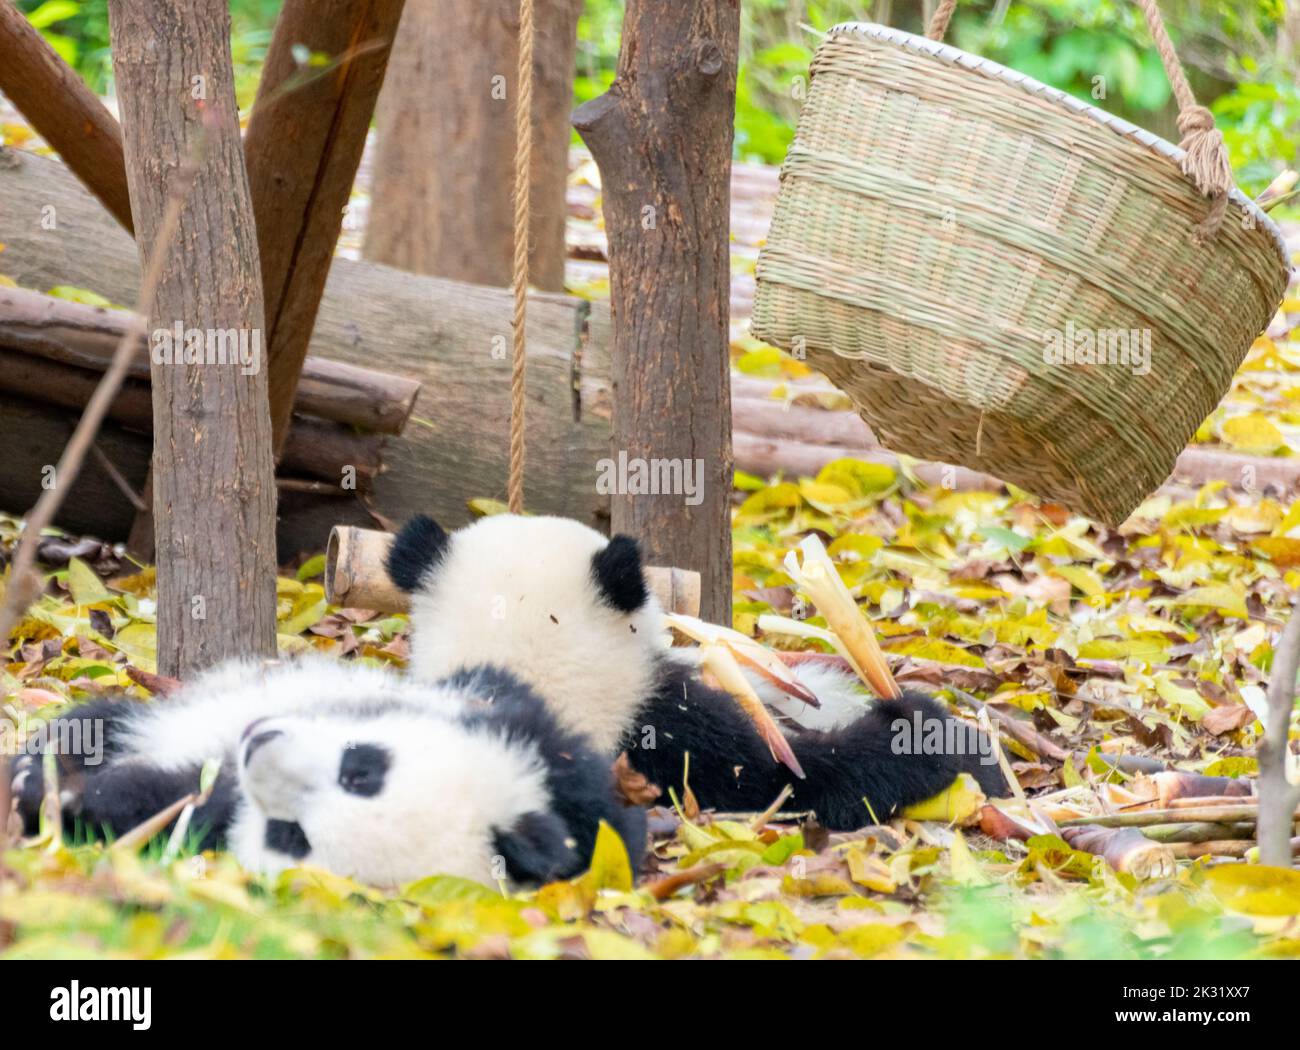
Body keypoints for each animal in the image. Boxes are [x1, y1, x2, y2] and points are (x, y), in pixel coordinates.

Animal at [9, 657, 645, 888]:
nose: (255, 746)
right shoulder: (536, 735)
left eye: (291, 836)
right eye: (361, 770)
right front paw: (42, 774)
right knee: (107, 718)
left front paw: (54, 797)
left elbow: (161, 809)